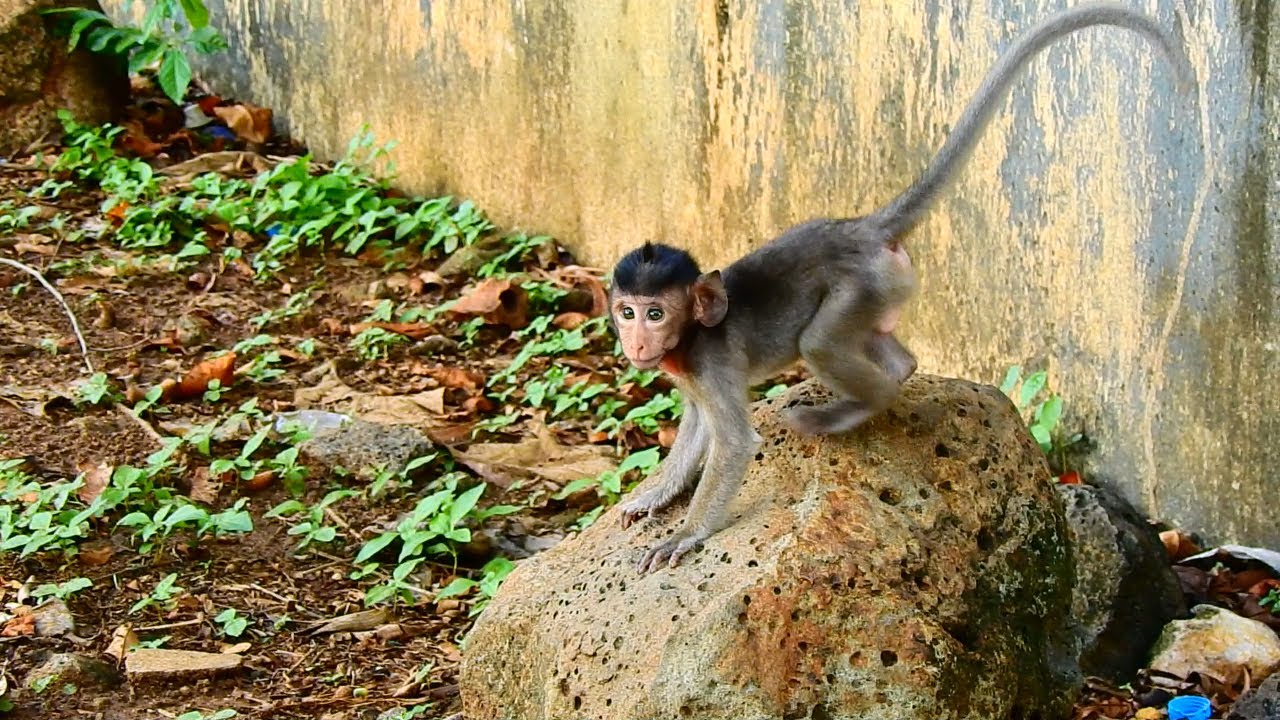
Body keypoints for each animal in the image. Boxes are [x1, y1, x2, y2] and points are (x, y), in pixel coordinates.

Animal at [608, 2, 1194, 573]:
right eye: (626, 312)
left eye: (655, 313)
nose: (636, 342)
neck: (692, 335)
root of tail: (865, 230)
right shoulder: (690, 372)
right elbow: (696, 429)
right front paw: (654, 496)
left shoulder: (709, 362)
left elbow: (732, 443)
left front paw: (686, 534)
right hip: (881, 291)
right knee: (880, 349)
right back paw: (894, 375)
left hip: (860, 286)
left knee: (818, 345)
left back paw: (852, 407)